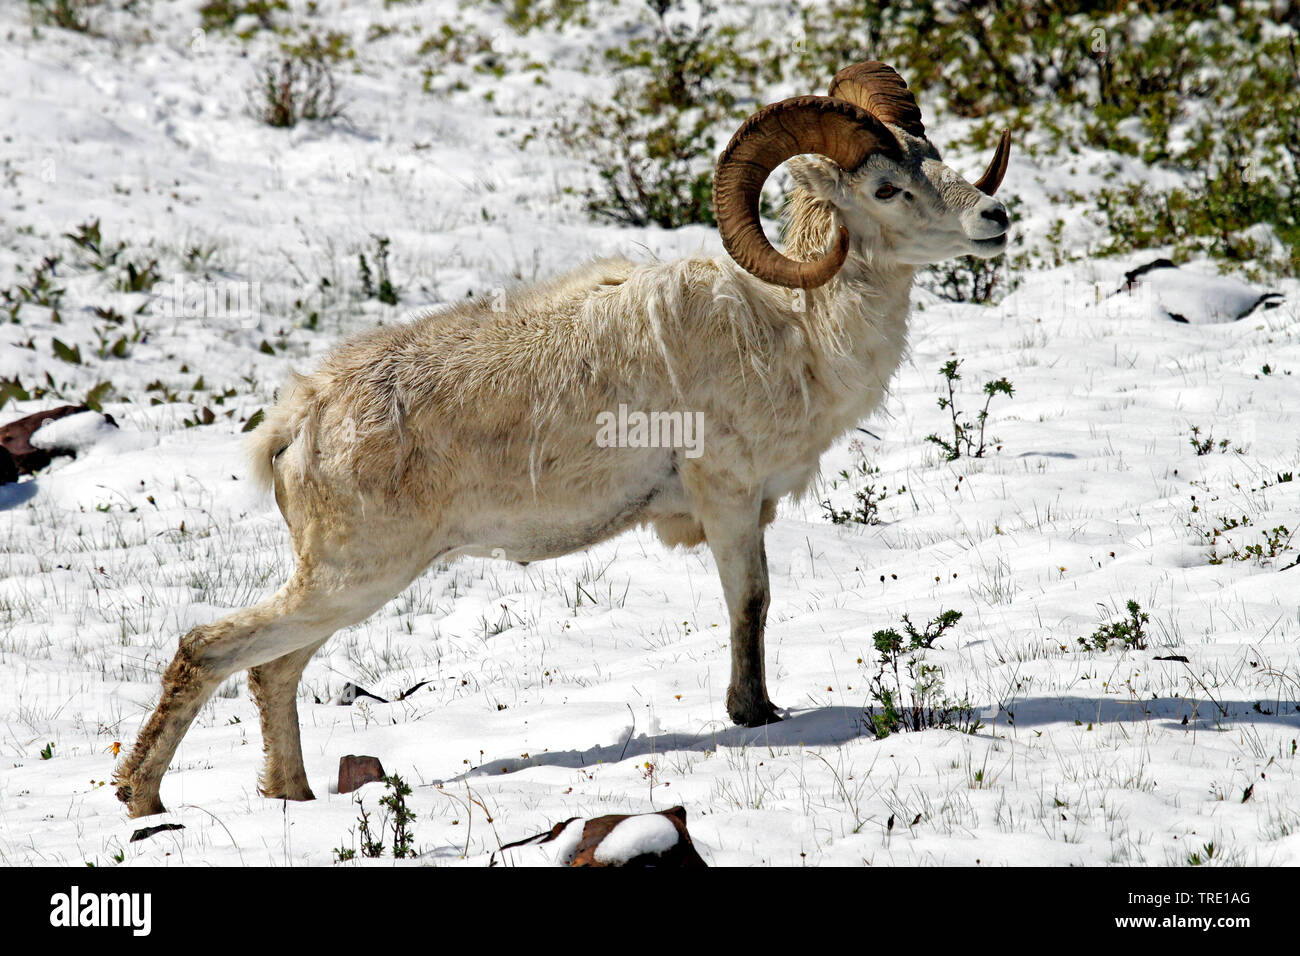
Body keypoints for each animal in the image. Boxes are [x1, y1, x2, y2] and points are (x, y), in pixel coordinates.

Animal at [114, 61, 1011, 818]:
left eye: (932, 157)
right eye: (889, 188)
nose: (995, 218)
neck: (793, 330)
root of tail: (301, 419)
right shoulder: (727, 500)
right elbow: (751, 605)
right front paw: (755, 716)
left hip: (343, 589)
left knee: (272, 671)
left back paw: (290, 798)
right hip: (350, 579)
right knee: (212, 651)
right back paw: (142, 799)